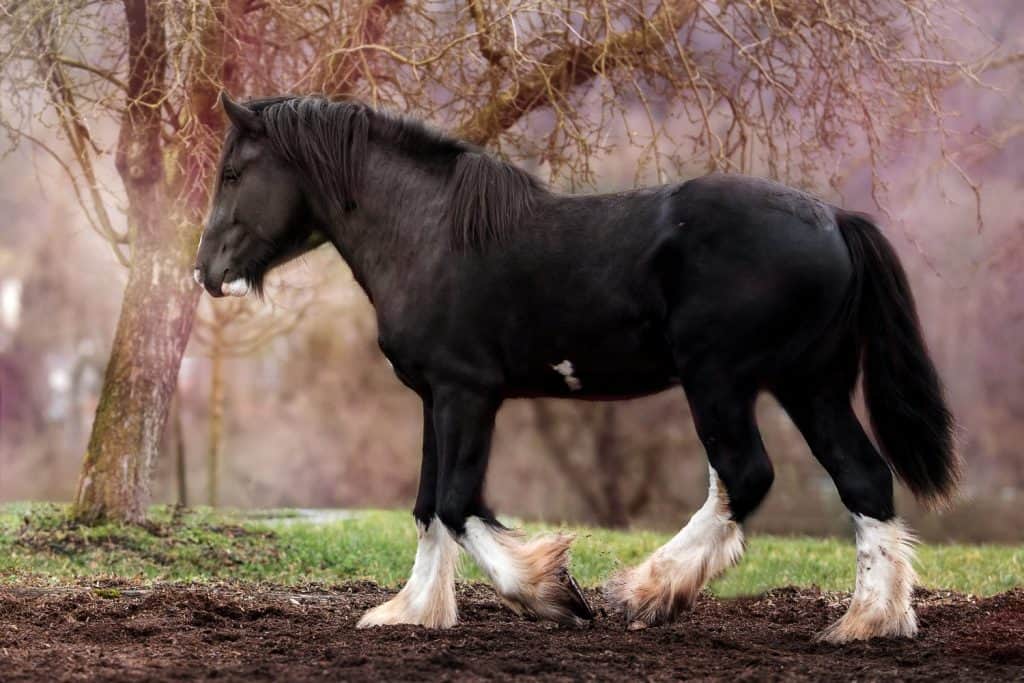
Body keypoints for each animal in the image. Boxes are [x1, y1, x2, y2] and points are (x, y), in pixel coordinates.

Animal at [194, 92, 958, 643]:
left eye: (234, 172)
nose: (207, 272)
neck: (429, 233)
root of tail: (834, 219)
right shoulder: (435, 397)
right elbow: (427, 505)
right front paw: (412, 611)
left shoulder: (467, 393)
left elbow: (456, 501)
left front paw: (552, 592)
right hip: (810, 384)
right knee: (861, 479)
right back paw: (870, 621)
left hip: (721, 380)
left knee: (746, 475)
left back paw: (649, 589)